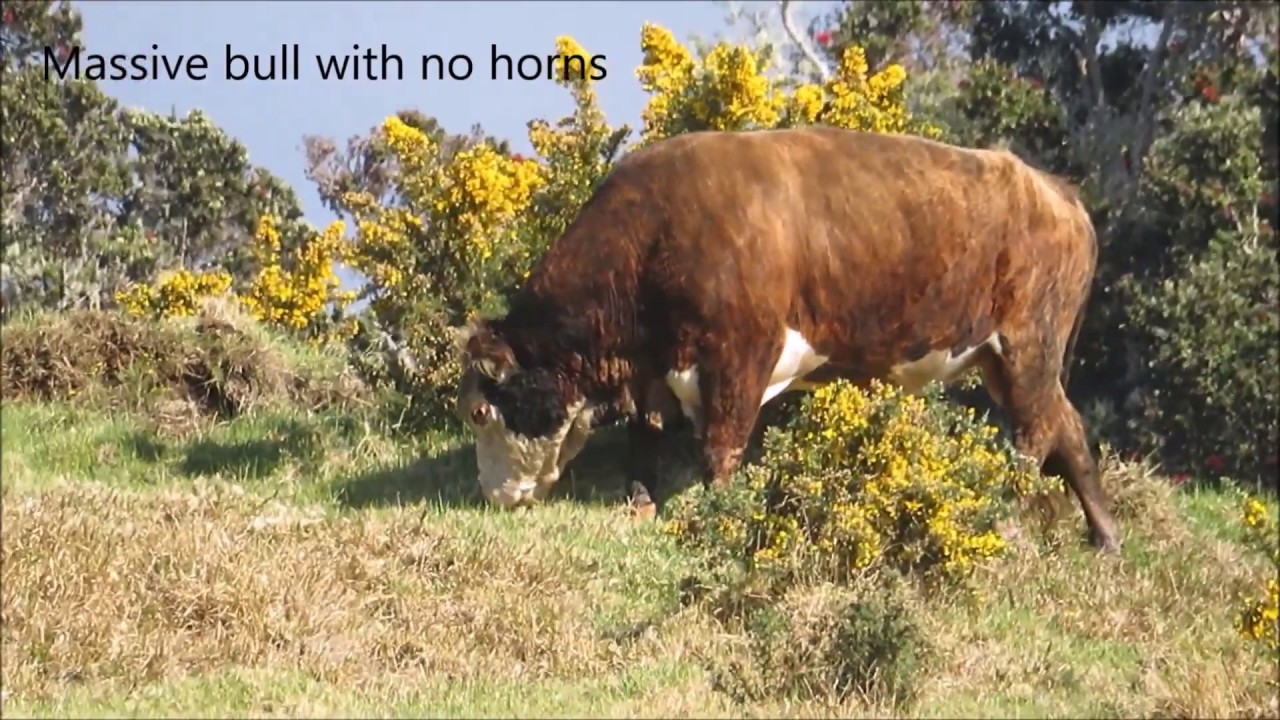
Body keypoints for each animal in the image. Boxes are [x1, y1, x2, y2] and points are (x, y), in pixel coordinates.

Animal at [454, 126, 1122, 553]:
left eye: (482, 411)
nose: (492, 495)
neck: (657, 234)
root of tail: (1054, 192)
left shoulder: (738, 360)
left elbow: (720, 448)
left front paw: (717, 514)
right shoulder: (655, 369)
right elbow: (646, 435)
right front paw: (641, 504)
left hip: (1027, 348)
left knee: (1034, 439)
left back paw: (1012, 522)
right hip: (1009, 361)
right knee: (1068, 429)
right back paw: (1105, 537)